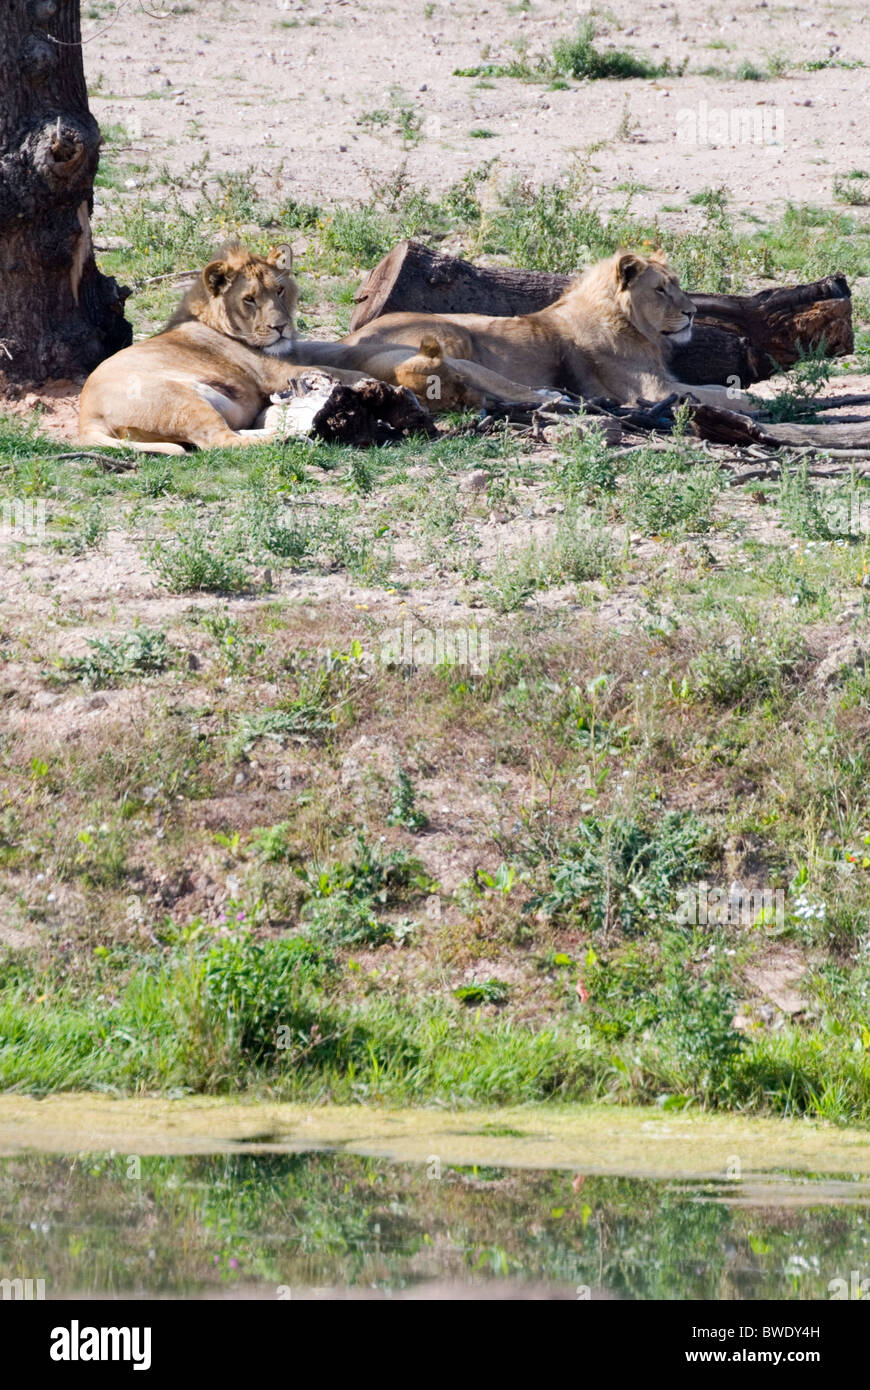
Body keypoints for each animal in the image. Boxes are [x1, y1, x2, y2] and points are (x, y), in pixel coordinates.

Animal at [78, 243, 369, 455]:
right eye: (249, 299)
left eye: (280, 291)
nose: (280, 327)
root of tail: (86, 417)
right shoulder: (274, 374)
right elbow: (339, 371)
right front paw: (368, 381)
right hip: (182, 401)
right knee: (219, 440)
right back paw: (287, 439)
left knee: (234, 432)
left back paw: (293, 433)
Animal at [283, 249, 758, 415]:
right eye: (661, 289)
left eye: (677, 284)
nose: (692, 313)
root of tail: (347, 342)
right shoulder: (652, 389)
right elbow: (720, 393)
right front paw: (751, 403)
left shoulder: (663, 383)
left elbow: (713, 387)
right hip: (455, 337)